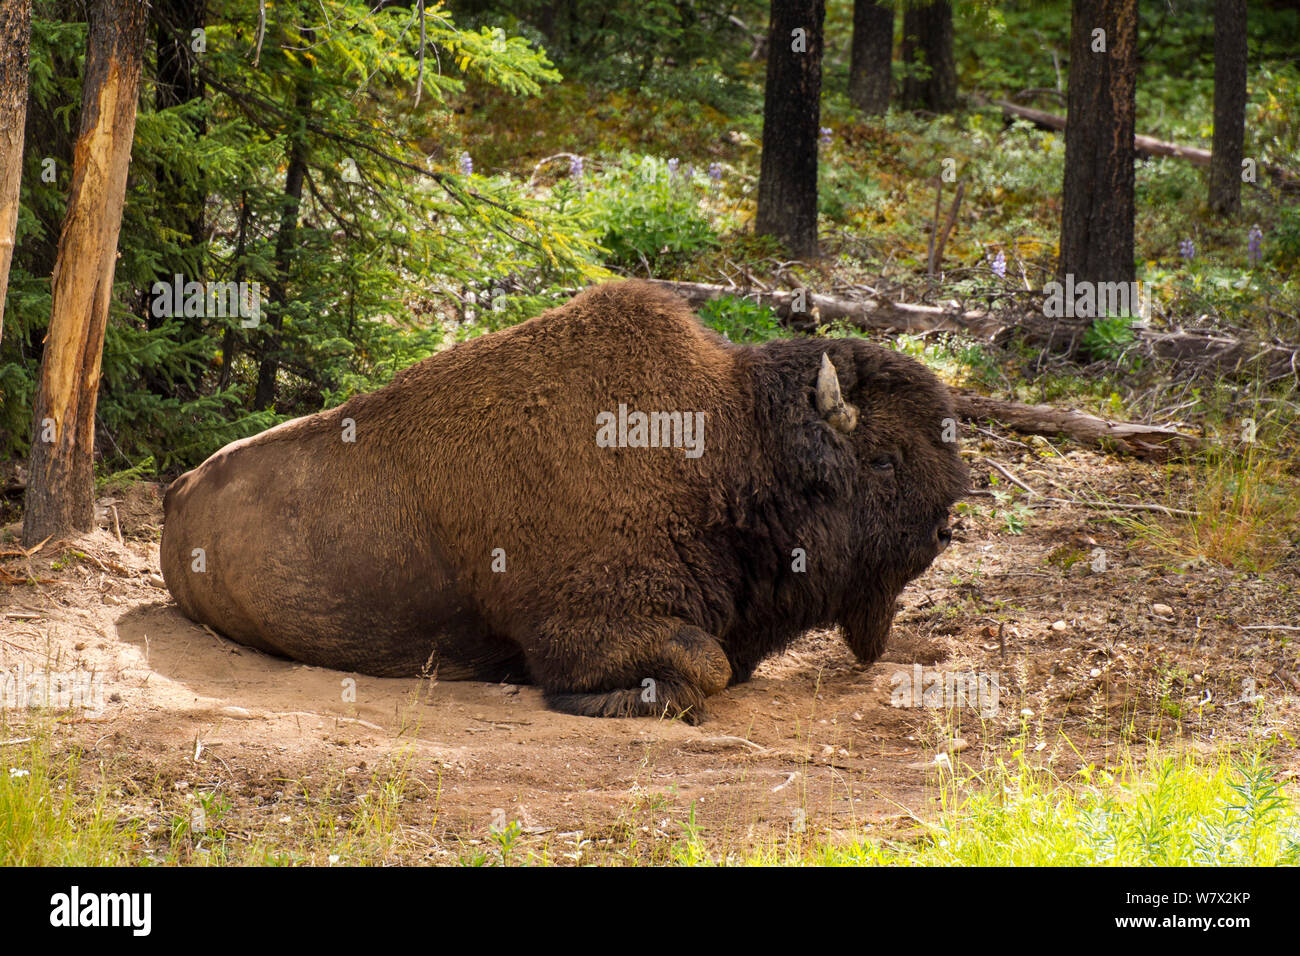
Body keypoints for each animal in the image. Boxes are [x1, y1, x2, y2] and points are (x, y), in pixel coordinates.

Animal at [161, 281, 967, 722]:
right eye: (884, 460)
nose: (943, 531)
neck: (731, 449)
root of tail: (177, 491)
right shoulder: (589, 626)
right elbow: (703, 665)